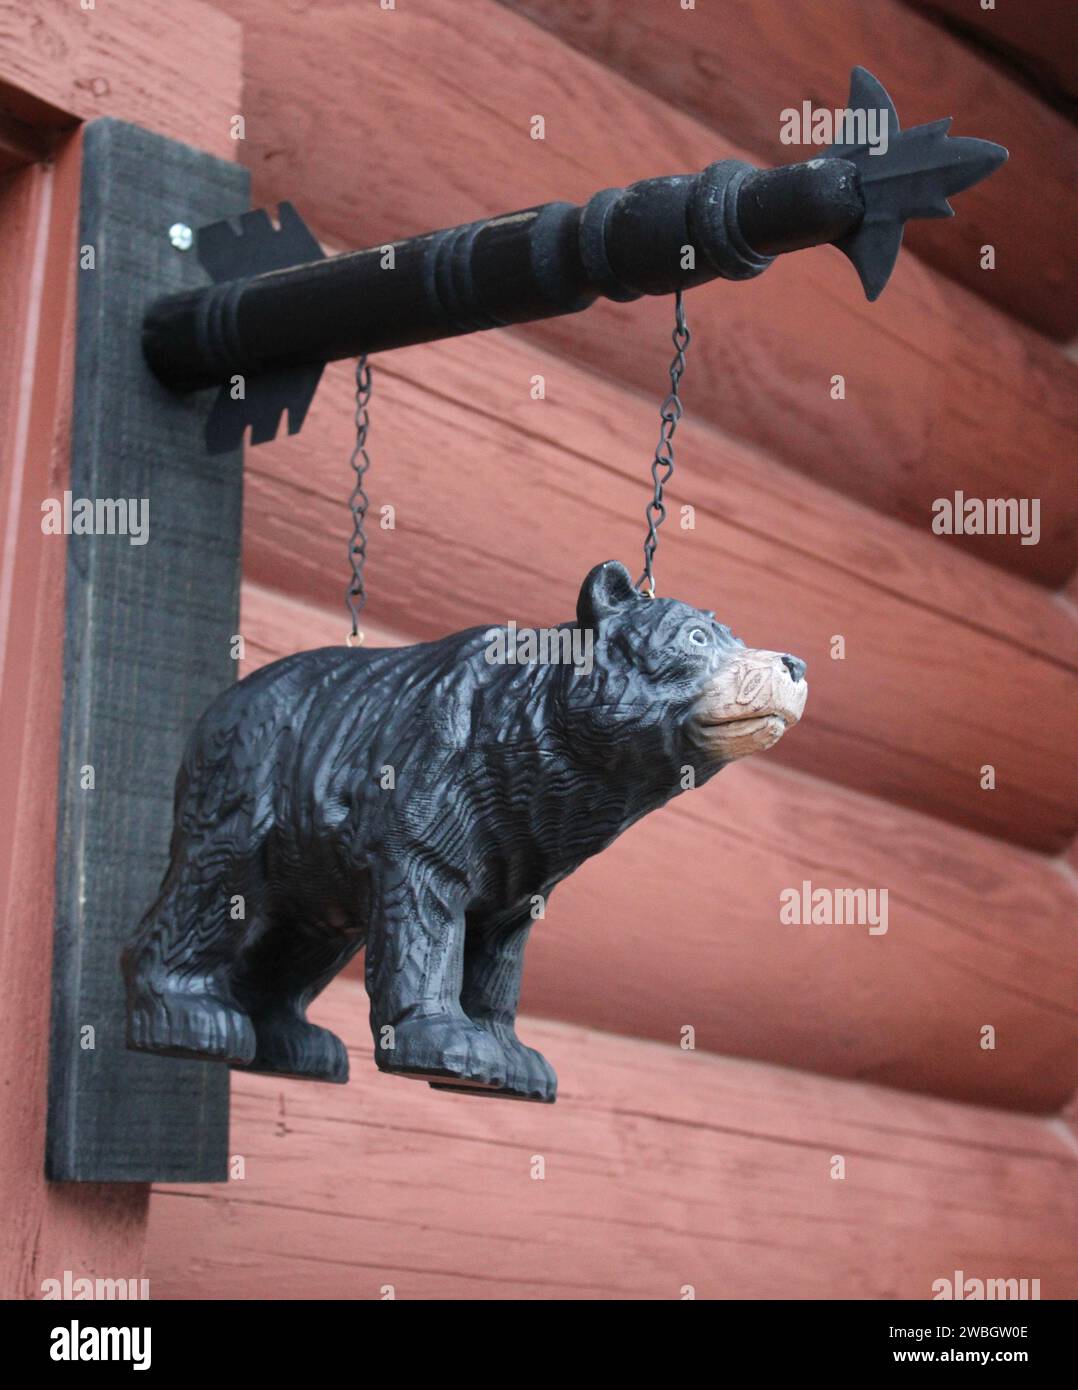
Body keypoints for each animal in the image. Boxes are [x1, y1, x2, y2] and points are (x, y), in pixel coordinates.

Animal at [123, 560, 807, 1102]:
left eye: (737, 634)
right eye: (695, 635)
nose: (794, 662)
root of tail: (220, 706)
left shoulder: (524, 848)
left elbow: (500, 950)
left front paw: (514, 1058)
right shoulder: (433, 786)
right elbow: (425, 913)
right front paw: (445, 1041)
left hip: (310, 857)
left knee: (304, 936)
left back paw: (297, 1044)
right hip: (250, 789)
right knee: (211, 888)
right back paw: (188, 1015)